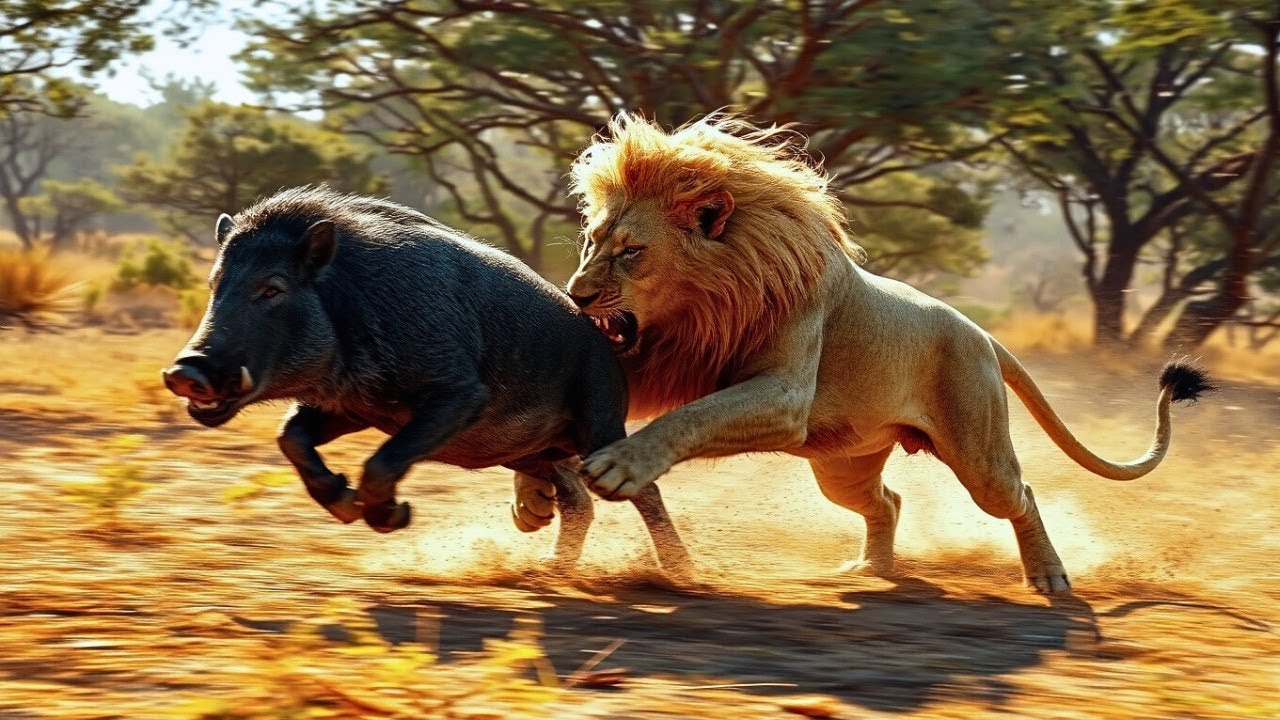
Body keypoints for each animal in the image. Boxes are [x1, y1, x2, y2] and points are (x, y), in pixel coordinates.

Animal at [162, 187, 691, 576]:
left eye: (272, 288)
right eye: (214, 284)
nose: (185, 372)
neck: (353, 300)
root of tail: (611, 348)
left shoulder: (459, 395)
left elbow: (381, 461)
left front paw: (391, 517)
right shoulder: (353, 407)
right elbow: (290, 437)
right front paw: (346, 505)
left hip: (598, 420)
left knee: (639, 489)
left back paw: (679, 574)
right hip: (530, 451)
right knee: (577, 499)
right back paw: (549, 570)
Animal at [511, 113, 1211, 593]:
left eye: (632, 252)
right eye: (591, 241)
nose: (577, 293)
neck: (710, 298)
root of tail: (982, 333)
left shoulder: (785, 395)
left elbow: (692, 417)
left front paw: (619, 466)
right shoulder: (656, 359)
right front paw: (532, 495)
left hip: (977, 452)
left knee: (1021, 495)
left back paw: (1048, 576)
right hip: (841, 465)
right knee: (887, 502)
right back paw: (871, 569)